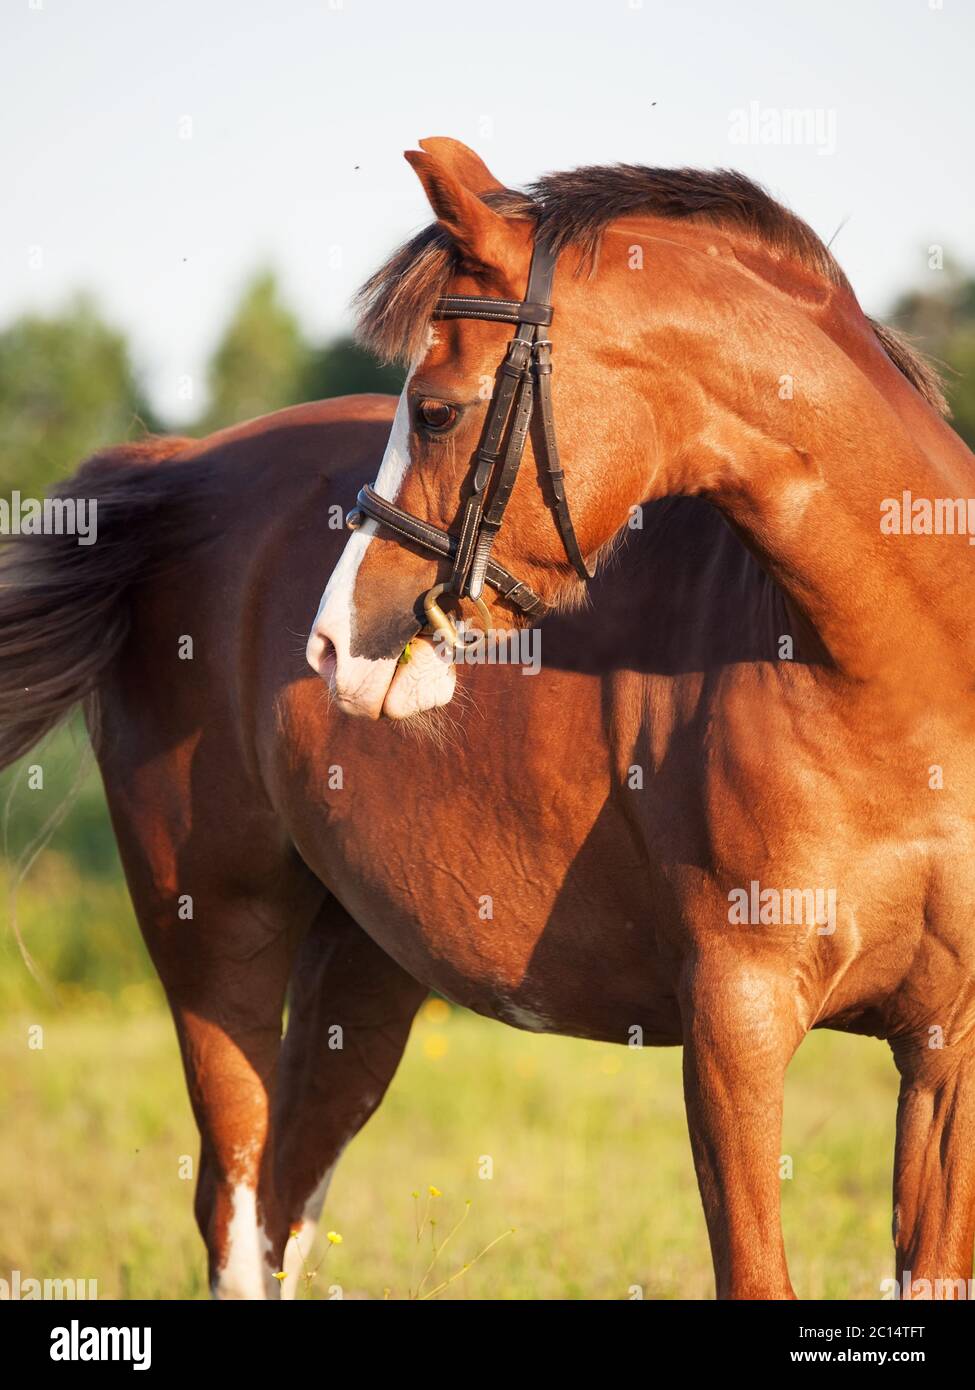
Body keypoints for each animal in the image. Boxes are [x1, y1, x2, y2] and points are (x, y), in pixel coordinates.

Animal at [3, 136, 974, 1301]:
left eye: (433, 408)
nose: (333, 646)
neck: (895, 682)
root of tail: (181, 466)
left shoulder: (948, 1049)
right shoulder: (734, 1028)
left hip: (361, 963)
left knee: (286, 1198)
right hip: (213, 935)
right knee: (235, 1206)